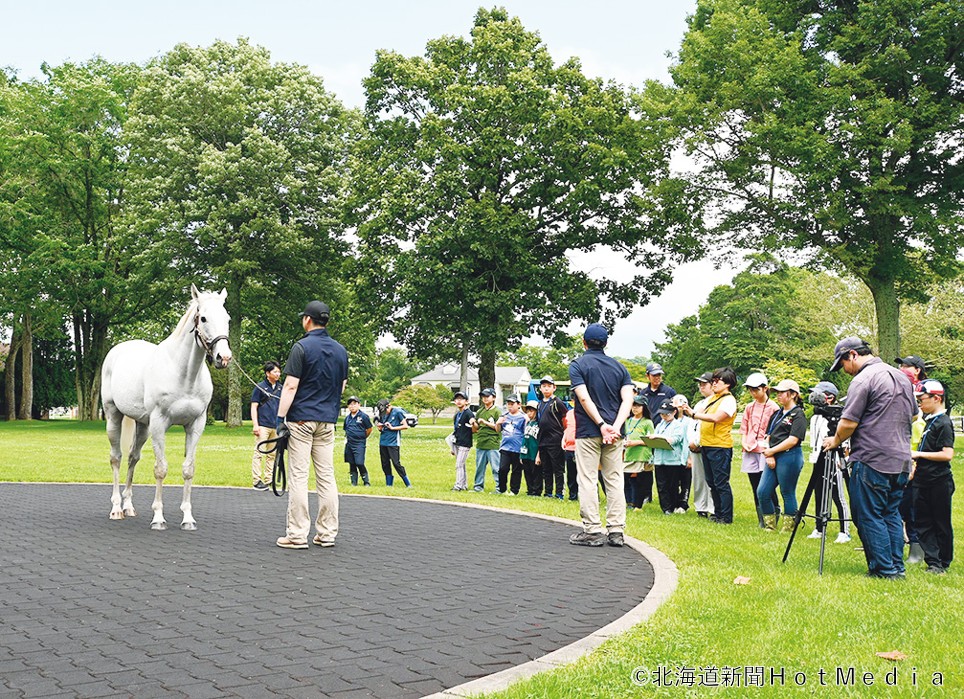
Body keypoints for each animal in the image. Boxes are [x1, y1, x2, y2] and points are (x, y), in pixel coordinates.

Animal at [100, 285, 232, 530]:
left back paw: (128, 506)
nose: (224, 357)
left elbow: (188, 469)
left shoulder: (196, 425)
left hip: (142, 426)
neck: (184, 374)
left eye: (227, 318)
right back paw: (116, 508)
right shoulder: (159, 424)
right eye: (203, 318)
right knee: (116, 458)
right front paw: (159, 518)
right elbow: (160, 469)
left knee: (133, 458)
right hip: (114, 417)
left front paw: (188, 518)